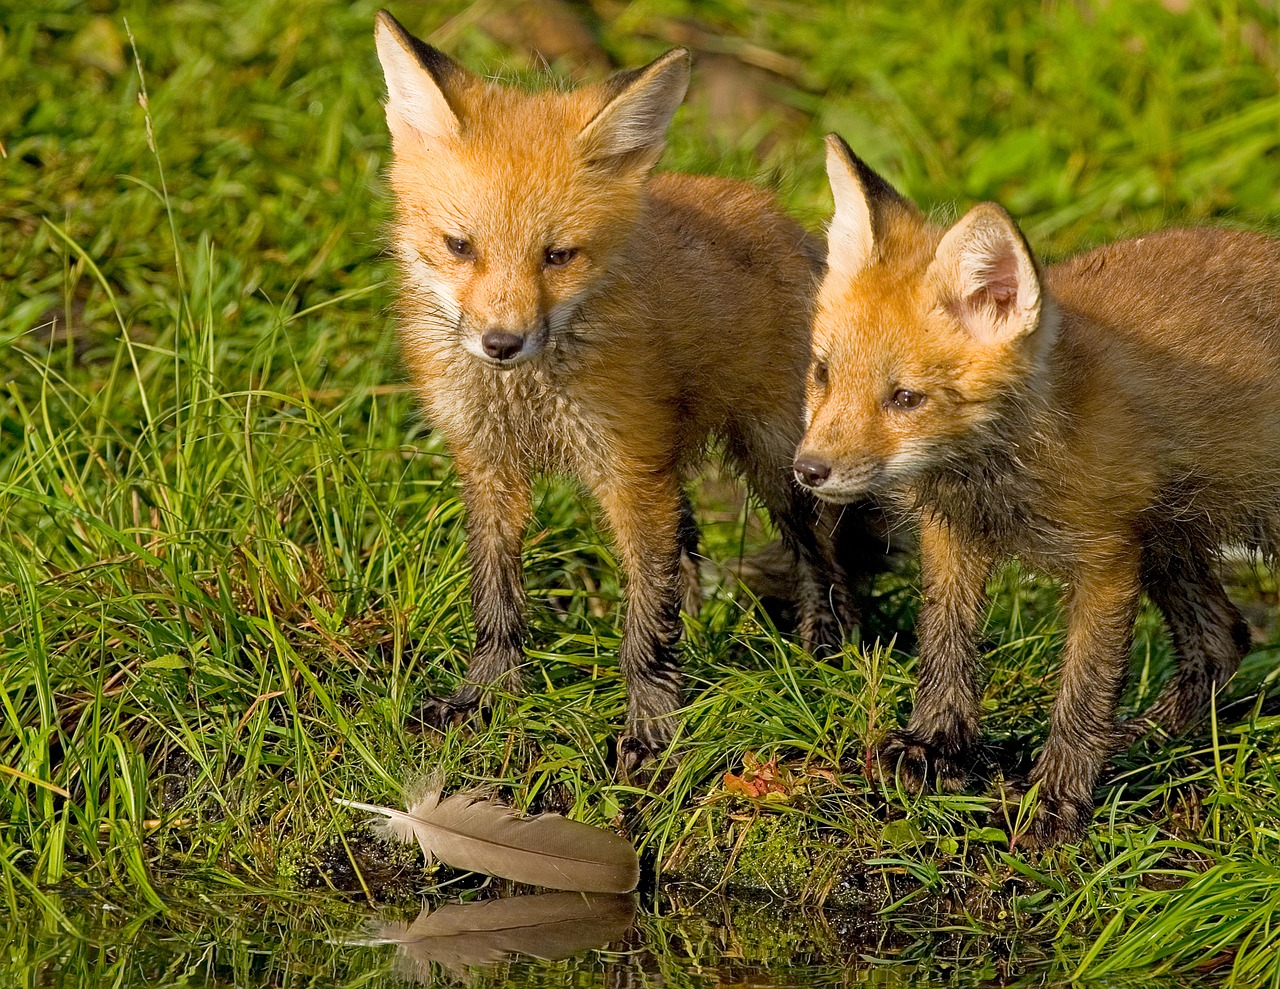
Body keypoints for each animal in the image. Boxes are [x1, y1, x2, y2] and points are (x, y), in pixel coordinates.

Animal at [372, 12, 880, 777]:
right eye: (459, 246)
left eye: (558, 255)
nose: (501, 343)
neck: (529, 395)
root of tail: (779, 216)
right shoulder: (489, 465)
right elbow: (497, 596)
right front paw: (486, 694)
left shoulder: (630, 470)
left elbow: (647, 614)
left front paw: (651, 725)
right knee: (692, 545)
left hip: (778, 462)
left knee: (819, 558)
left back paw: (825, 647)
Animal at [793, 133, 1280, 846]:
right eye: (824, 375)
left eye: (905, 399)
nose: (808, 470)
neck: (1000, 479)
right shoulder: (954, 537)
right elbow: (944, 646)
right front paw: (934, 746)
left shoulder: (1108, 560)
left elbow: (1083, 691)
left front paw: (1055, 802)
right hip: (1170, 540)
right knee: (1222, 642)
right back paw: (1135, 746)